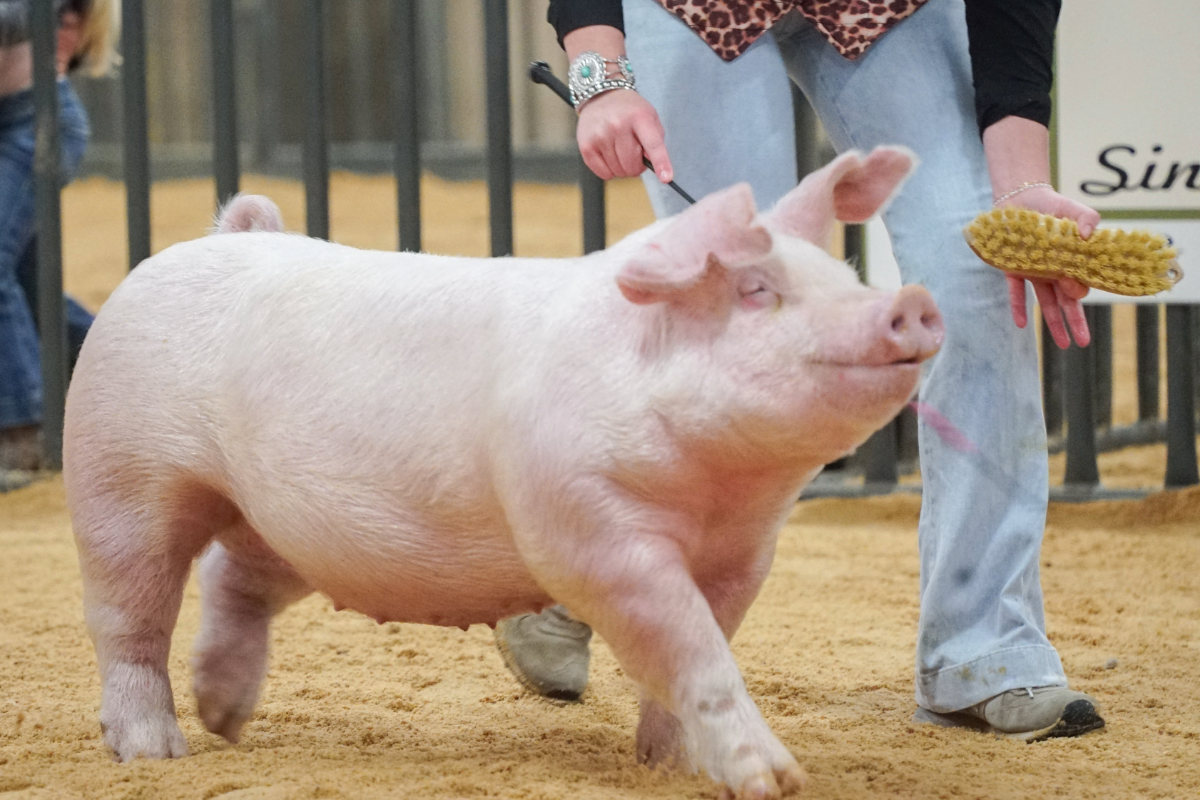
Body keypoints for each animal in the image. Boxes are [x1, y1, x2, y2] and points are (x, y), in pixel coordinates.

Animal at [64, 145, 942, 800]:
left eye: (849, 276)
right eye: (758, 290)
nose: (911, 302)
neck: (716, 494)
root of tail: (217, 235)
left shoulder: (744, 555)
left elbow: (695, 648)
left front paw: (668, 766)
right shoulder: (589, 530)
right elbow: (690, 648)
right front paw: (774, 779)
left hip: (284, 520)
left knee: (234, 578)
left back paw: (227, 719)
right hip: (117, 473)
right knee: (126, 615)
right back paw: (156, 753)